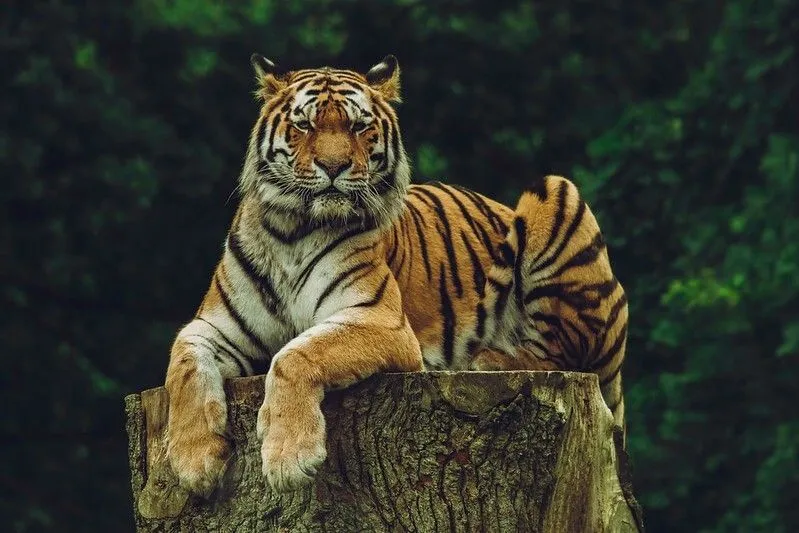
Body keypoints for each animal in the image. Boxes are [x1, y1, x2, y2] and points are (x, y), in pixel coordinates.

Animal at [166, 54, 628, 494]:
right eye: (304, 124)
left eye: (358, 126)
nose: (333, 166)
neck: (292, 231)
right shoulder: (216, 326)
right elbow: (183, 367)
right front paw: (194, 462)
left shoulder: (379, 319)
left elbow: (294, 354)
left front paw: (289, 459)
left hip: (556, 192)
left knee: (562, 351)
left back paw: (490, 358)